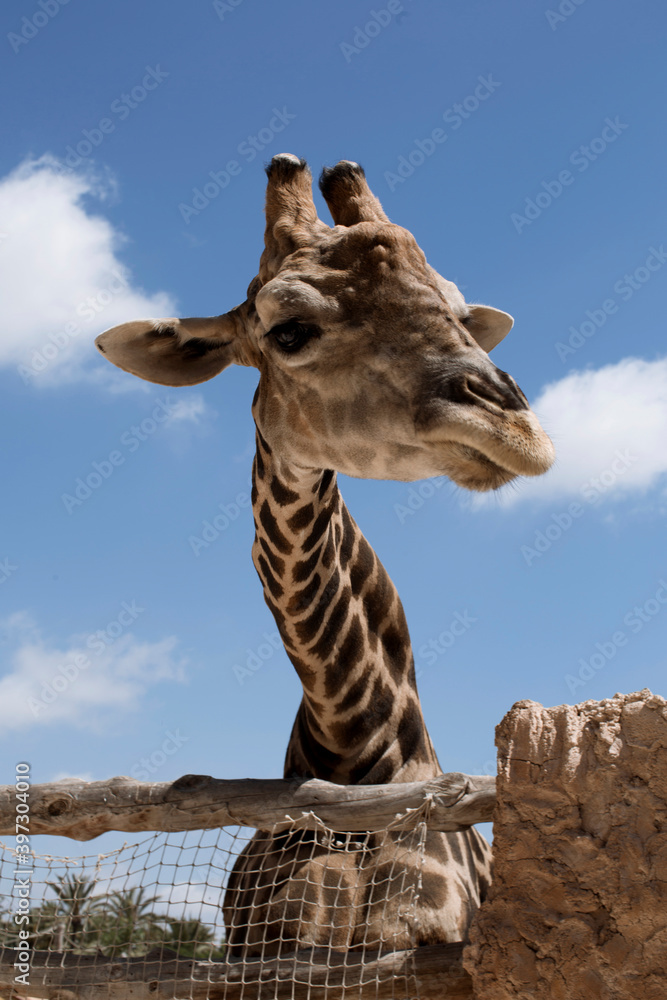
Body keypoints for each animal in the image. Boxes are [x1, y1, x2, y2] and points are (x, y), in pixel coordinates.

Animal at [96, 154, 554, 959]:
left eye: (461, 316)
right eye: (289, 331)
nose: (516, 430)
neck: (351, 750)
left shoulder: (417, 948)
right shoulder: (260, 956)